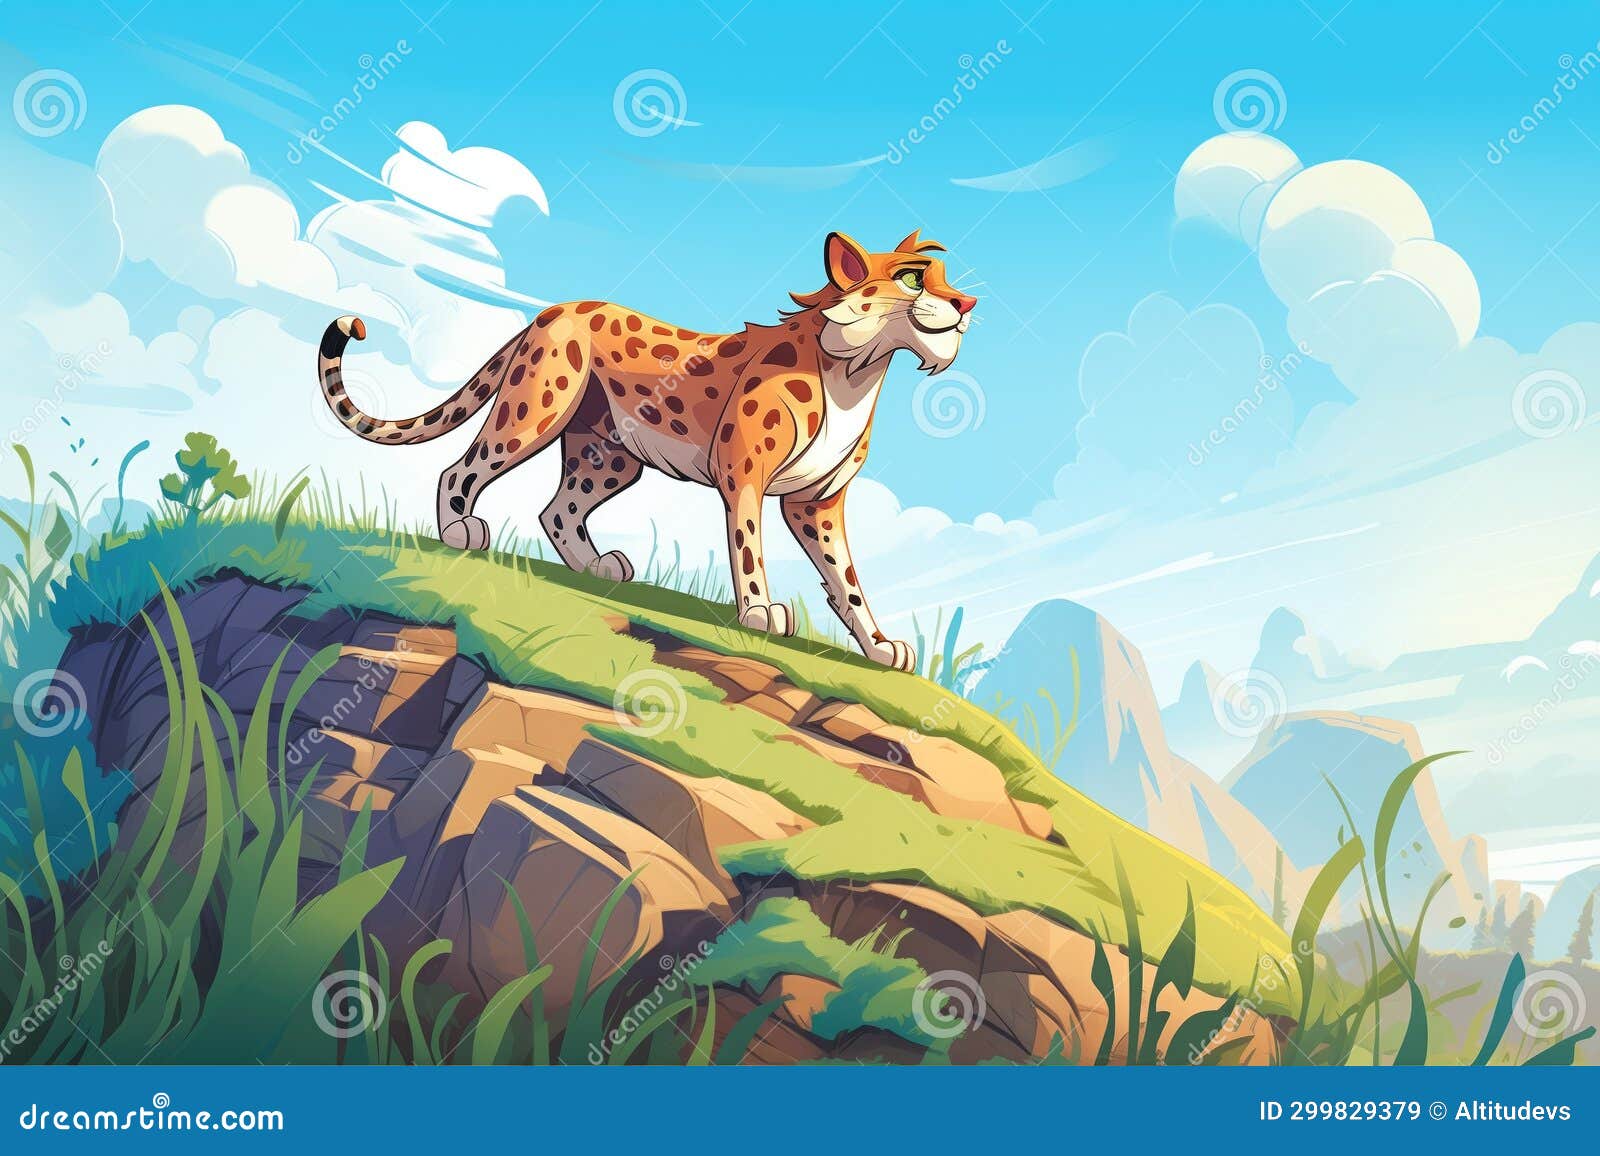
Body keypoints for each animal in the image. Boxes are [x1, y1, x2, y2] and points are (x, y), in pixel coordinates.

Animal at [316, 229, 977, 670]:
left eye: (946, 279)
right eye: (913, 277)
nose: (967, 306)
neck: (858, 371)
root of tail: (553, 309)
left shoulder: (816, 503)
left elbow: (847, 578)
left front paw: (879, 645)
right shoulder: (746, 480)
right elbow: (750, 548)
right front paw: (760, 613)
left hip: (610, 458)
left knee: (557, 510)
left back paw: (596, 567)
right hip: (536, 411)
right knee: (461, 469)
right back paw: (459, 531)